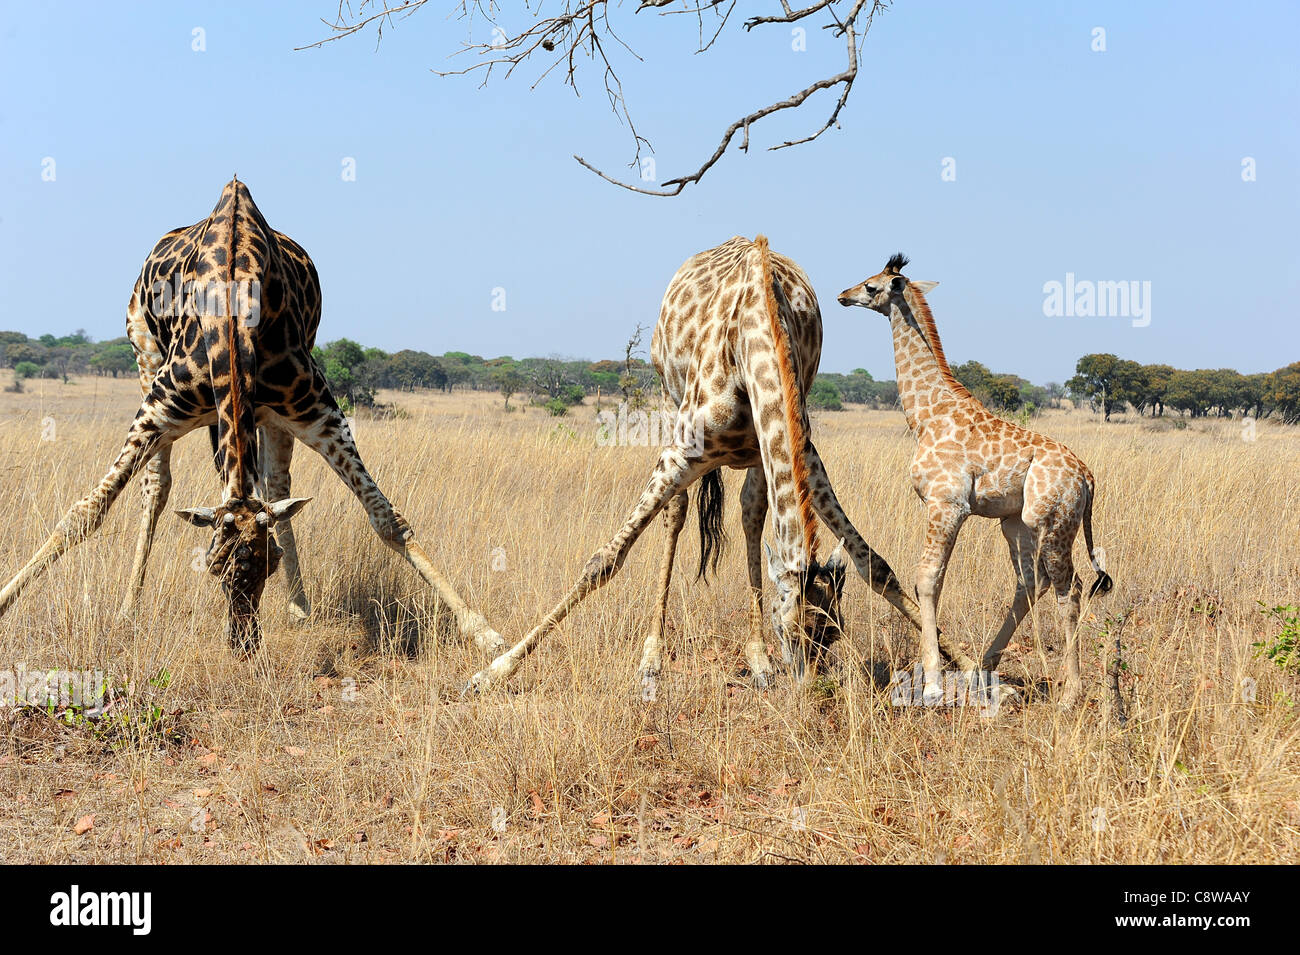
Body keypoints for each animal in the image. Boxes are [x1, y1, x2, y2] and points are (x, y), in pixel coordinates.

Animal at [0, 178, 503, 657]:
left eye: (271, 560)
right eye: (213, 564)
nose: (244, 643)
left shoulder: (320, 415)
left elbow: (385, 517)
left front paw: (485, 634)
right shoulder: (158, 411)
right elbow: (86, 511)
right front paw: (7, 599)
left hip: (273, 417)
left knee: (276, 486)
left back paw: (300, 608)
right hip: (144, 359)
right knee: (157, 486)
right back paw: (129, 606)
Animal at [466, 236, 976, 693]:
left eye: (833, 632)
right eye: (791, 629)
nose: (810, 689)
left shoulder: (804, 453)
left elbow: (873, 562)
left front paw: (966, 664)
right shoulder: (679, 451)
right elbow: (604, 560)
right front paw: (493, 671)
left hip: (756, 456)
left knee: (751, 514)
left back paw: (757, 661)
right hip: (670, 403)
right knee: (677, 514)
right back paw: (652, 658)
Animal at [838, 254, 1114, 706]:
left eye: (871, 286)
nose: (842, 295)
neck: (926, 415)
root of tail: (1088, 478)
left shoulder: (946, 503)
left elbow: (926, 578)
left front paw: (932, 682)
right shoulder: (958, 510)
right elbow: (933, 580)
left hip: (1055, 523)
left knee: (1068, 588)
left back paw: (1070, 692)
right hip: (1015, 522)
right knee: (1030, 582)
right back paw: (986, 666)